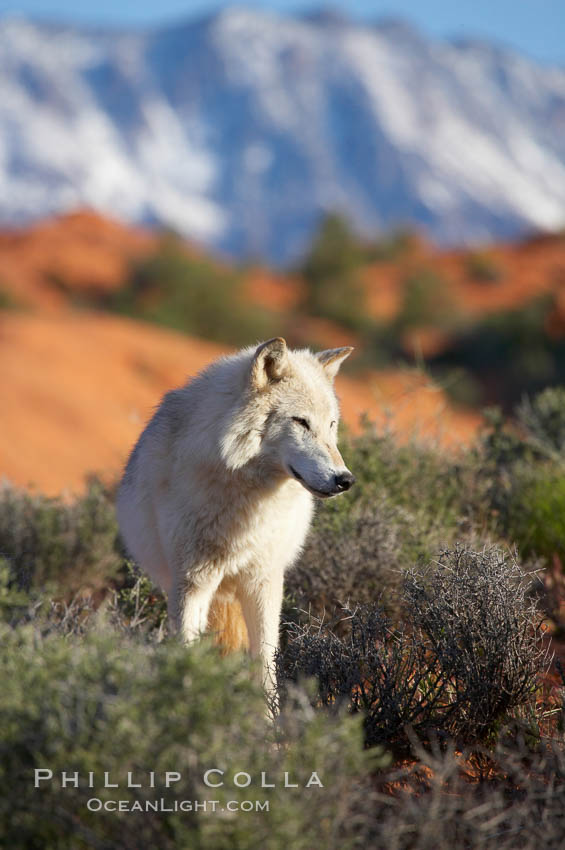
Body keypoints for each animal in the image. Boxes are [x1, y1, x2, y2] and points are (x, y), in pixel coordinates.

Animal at [116, 337, 355, 692]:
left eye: (331, 425)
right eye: (301, 422)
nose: (345, 479)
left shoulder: (264, 580)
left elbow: (266, 664)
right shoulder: (192, 581)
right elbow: (187, 652)